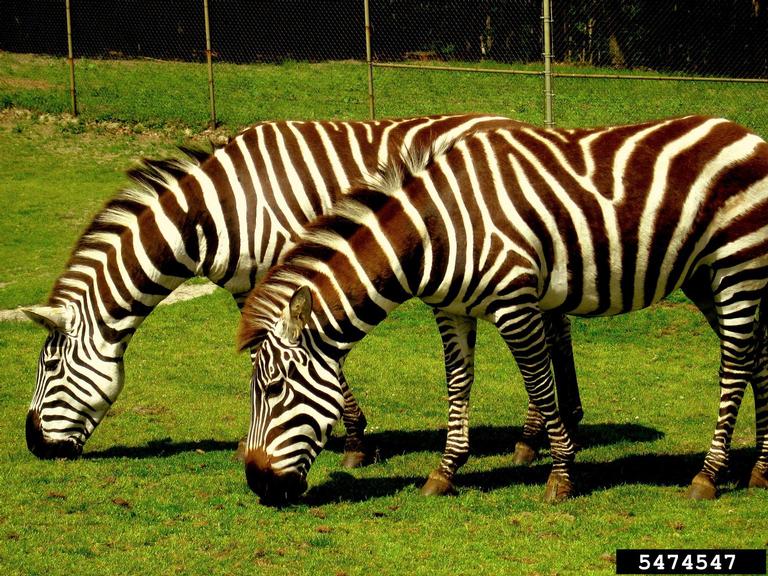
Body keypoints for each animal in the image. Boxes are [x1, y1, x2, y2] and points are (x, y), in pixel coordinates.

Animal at [22, 113, 582, 472]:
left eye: (48, 367)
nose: (32, 445)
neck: (213, 213)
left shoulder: (283, 272)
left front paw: (352, 439)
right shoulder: (250, 286)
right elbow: (269, 354)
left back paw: (535, 437)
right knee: (557, 323)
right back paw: (558, 426)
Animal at [238, 115, 768, 504]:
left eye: (273, 388)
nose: (257, 484)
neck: (433, 230)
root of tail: (746, 133)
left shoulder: (515, 304)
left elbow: (539, 384)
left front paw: (560, 475)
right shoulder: (451, 310)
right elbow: (457, 383)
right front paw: (445, 471)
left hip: (738, 265)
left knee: (735, 367)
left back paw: (707, 476)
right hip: (706, 276)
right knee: (756, 360)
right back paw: (760, 469)